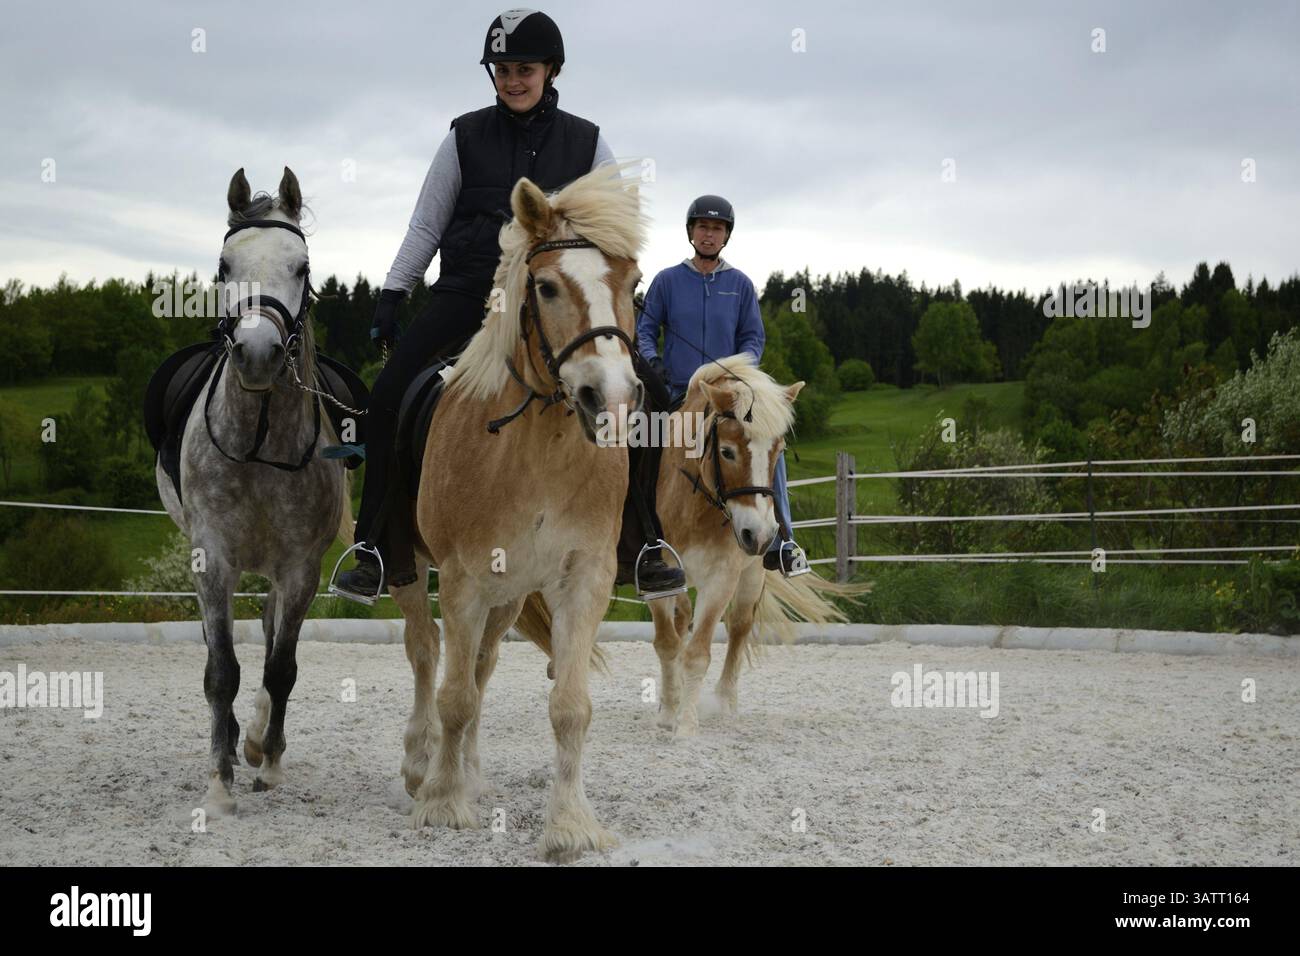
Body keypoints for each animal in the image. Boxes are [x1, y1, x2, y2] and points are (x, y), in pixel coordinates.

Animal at [156, 167, 350, 815]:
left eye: (302, 267)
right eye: (224, 265)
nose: (259, 354)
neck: (261, 437)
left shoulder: (301, 566)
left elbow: (280, 667)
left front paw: (269, 762)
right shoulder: (212, 558)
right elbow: (222, 669)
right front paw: (219, 783)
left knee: (269, 635)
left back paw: (261, 738)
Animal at [391, 164, 646, 862]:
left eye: (633, 284)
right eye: (548, 286)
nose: (611, 398)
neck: (537, 449)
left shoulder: (583, 577)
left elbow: (568, 705)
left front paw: (571, 824)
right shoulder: (460, 578)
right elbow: (452, 695)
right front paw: (441, 804)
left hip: (507, 595)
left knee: (480, 667)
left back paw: (470, 773)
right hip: (413, 569)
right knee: (426, 655)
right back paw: (423, 767)